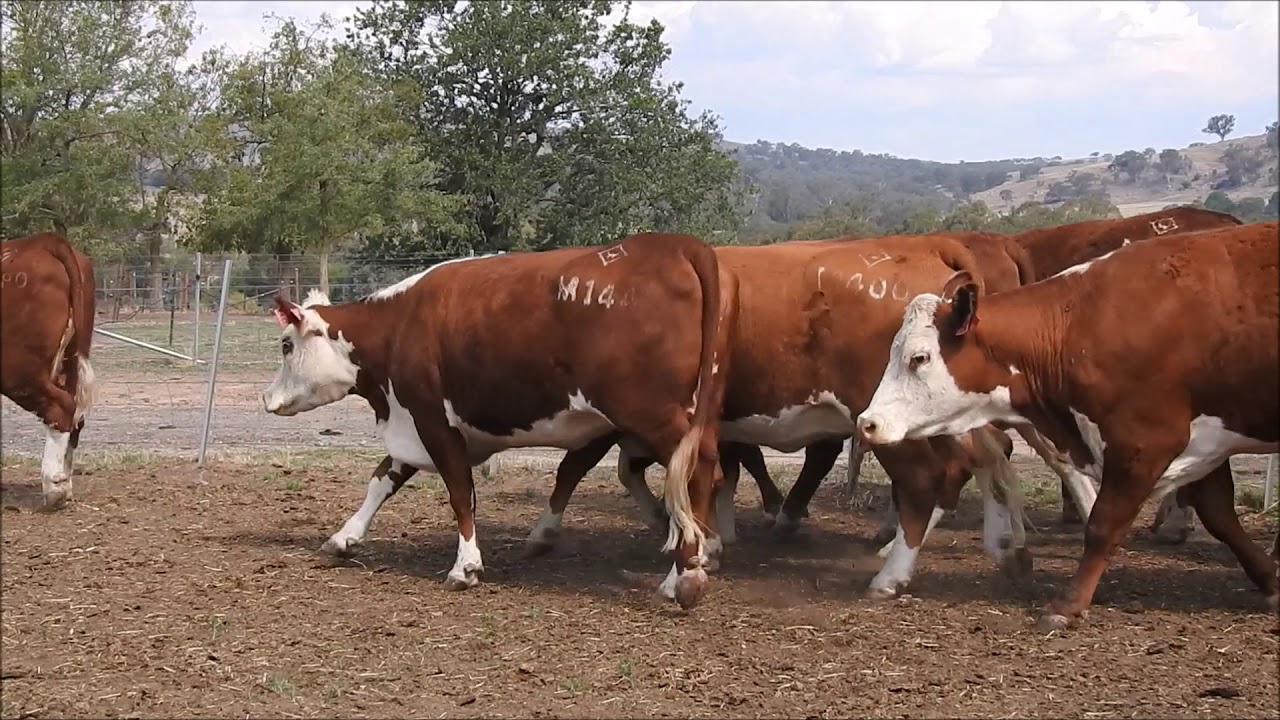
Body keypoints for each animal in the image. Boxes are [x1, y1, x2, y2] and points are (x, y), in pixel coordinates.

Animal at [0, 232, 98, 508]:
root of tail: (43, 241)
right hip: (70, 359)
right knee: (76, 416)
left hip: (18, 369)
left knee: (61, 406)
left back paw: (54, 487)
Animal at [261, 233, 733, 609]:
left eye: (285, 344)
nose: (267, 398)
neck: (398, 325)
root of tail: (672, 244)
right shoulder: (413, 426)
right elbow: (381, 481)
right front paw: (344, 537)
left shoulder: (433, 421)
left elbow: (460, 494)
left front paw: (466, 566)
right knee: (708, 470)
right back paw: (694, 562)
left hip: (654, 417)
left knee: (693, 474)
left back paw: (684, 580)